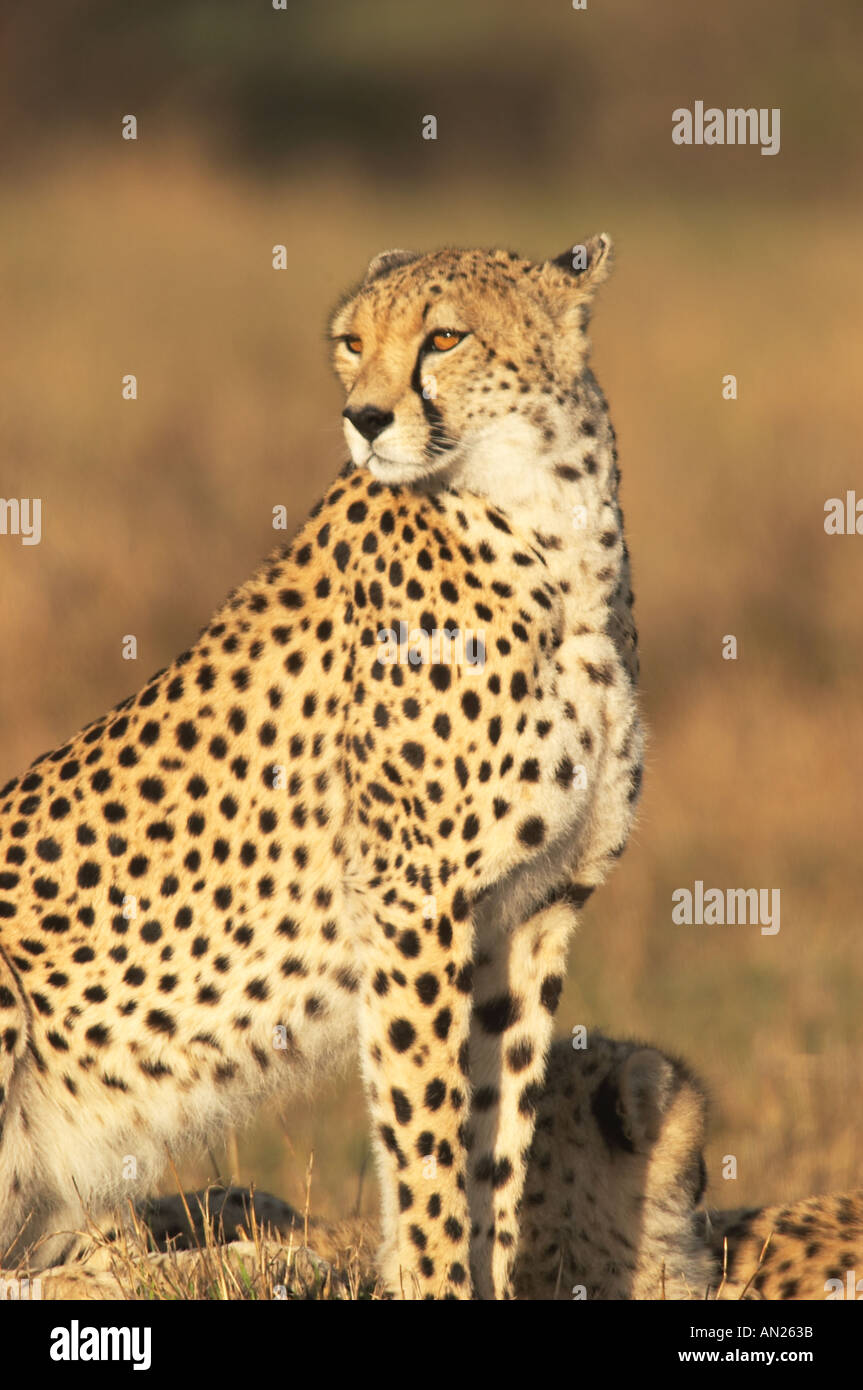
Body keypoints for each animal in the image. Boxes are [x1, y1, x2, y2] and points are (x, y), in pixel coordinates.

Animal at [0, 237, 642, 1299]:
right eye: (351, 342)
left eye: (444, 336)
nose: (366, 418)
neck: (548, 517)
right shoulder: (413, 903)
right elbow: (427, 1145)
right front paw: (431, 1280)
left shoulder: (532, 913)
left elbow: (494, 1147)